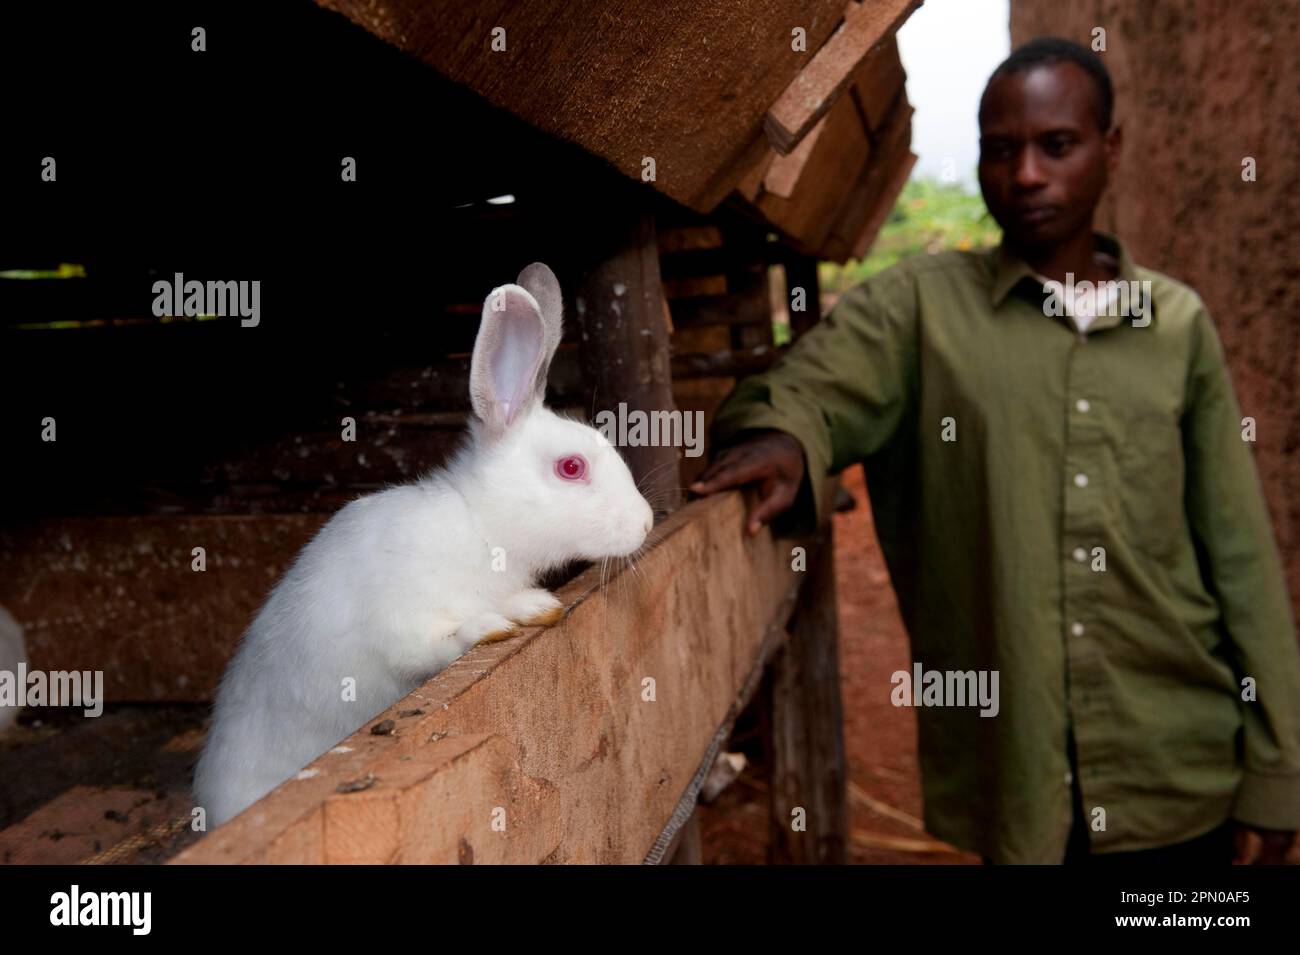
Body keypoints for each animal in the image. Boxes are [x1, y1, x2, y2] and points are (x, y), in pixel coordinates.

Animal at [193, 262, 655, 829]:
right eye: (571, 467)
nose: (645, 523)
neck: (480, 525)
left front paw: (533, 606)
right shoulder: (401, 621)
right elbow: (438, 641)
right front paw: (493, 625)